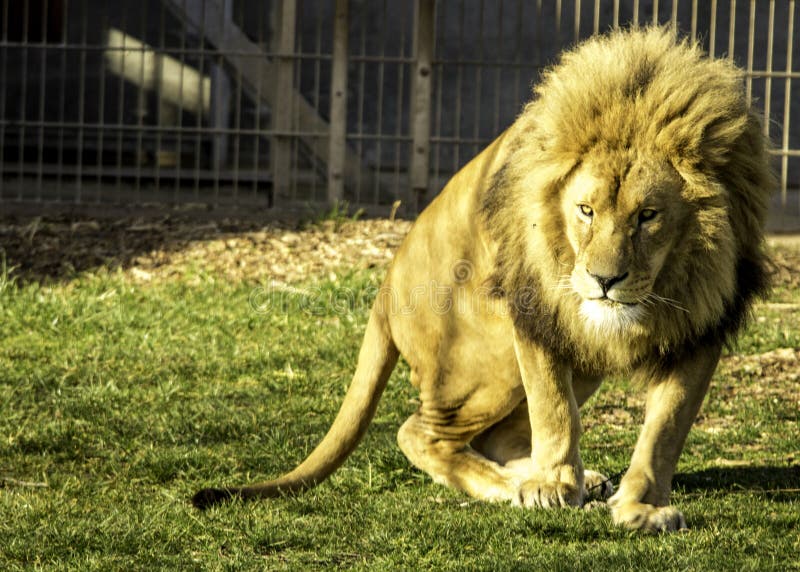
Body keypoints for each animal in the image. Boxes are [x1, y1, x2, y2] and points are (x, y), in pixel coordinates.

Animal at [193, 28, 773, 532]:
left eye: (648, 216)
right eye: (585, 210)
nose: (604, 281)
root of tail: (386, 283)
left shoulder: (704, 324)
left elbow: (665, 429)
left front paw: (642, 508)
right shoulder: (534, 310)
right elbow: (553, 409)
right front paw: (553, 486)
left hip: (578, 355)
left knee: (495, 436)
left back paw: (571, 480)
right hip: (486, 359)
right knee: (421, 433)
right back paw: (513, 486)